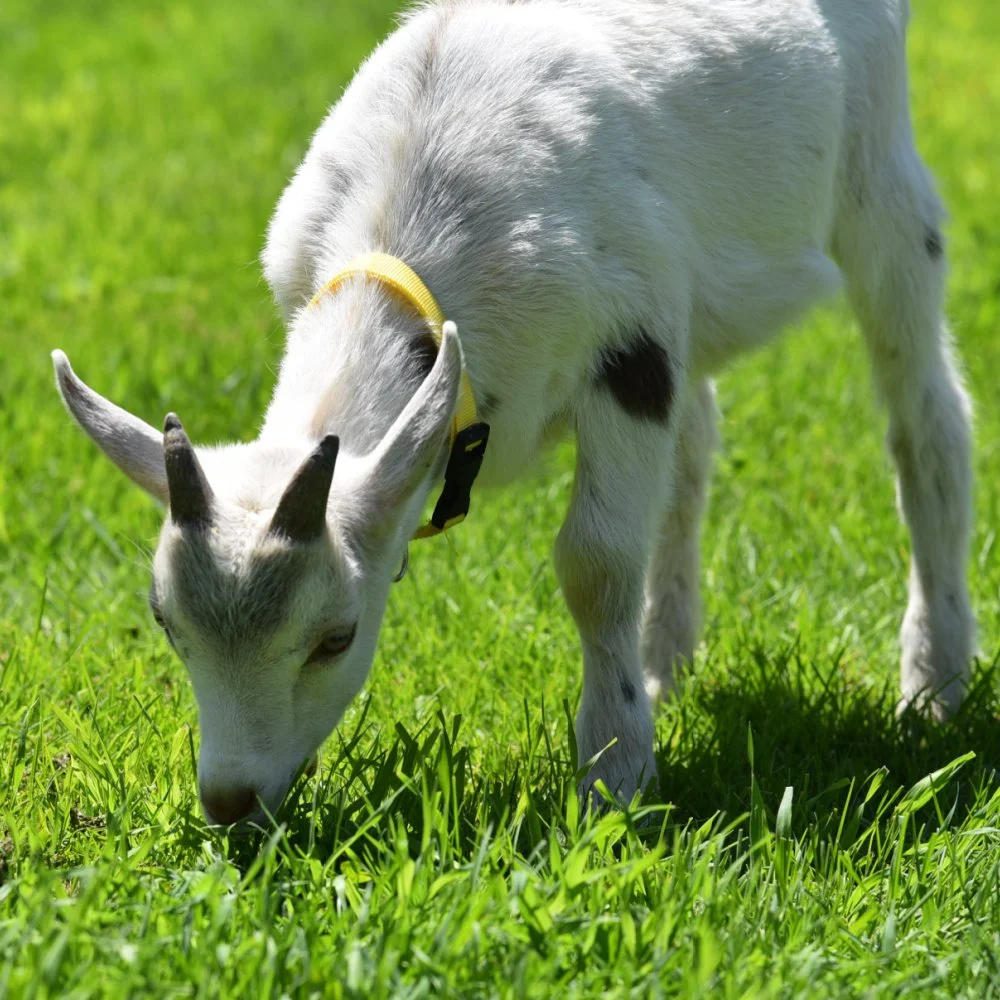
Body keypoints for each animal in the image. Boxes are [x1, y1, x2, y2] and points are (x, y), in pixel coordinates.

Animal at [52, 0, 974, 824]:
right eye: (166, 622)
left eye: (335, 637)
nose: (230, 801)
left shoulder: (630, 343)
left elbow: (596, 562)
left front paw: (614, 778)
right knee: (694, 445)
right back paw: (667, 661)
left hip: (882, 176)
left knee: (927, 417)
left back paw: (935, 682)